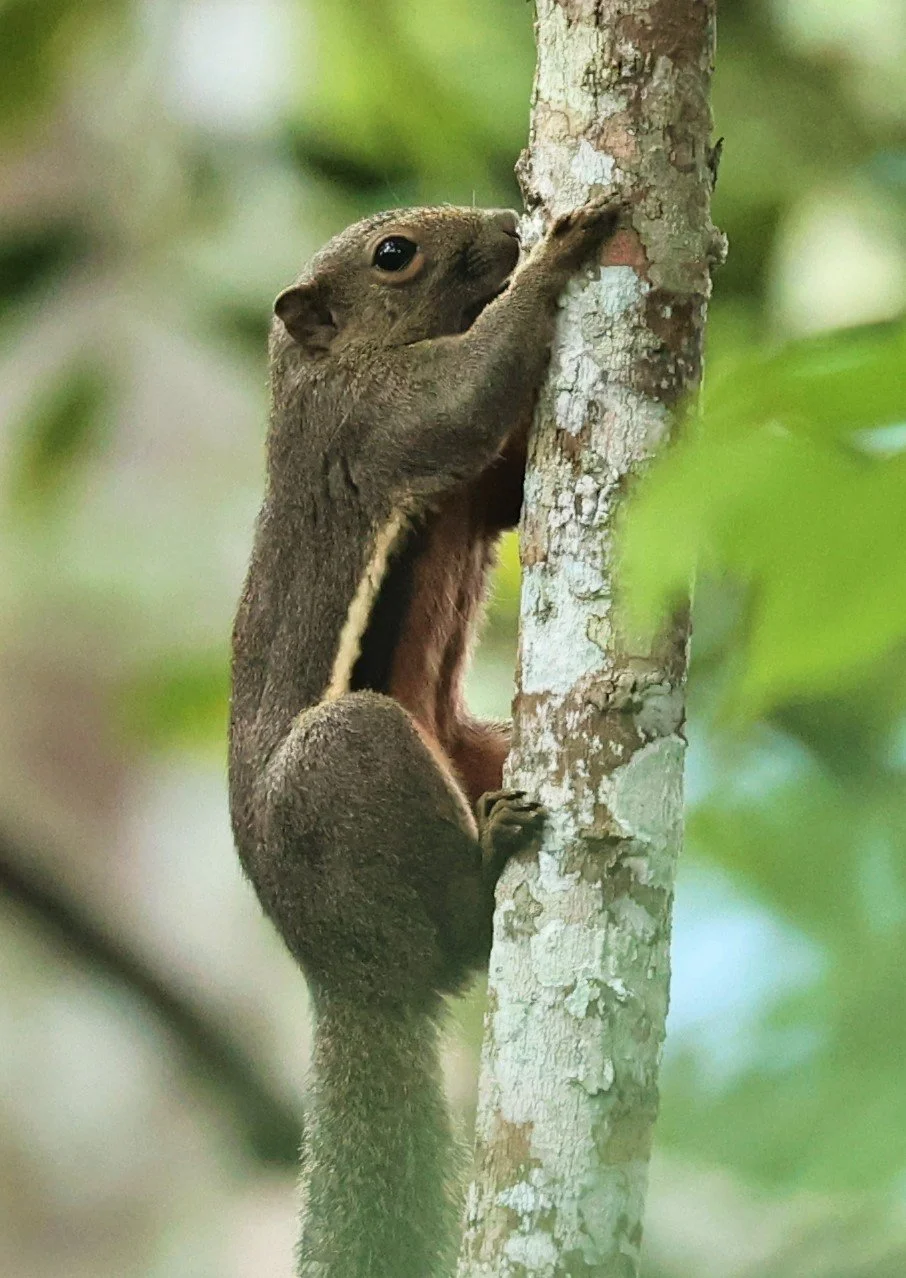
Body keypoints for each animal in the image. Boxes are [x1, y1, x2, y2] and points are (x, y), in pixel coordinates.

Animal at [228, 199, 619, 1278]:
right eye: (393, 254)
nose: (501, 220)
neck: (312, 375)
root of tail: (343, 972)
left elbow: (510, 485)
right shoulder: (374, 424)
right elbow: (468, 394)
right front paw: (555, 258)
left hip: (471, 745)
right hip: (351, 758)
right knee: (452, 938)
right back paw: (486, 868)